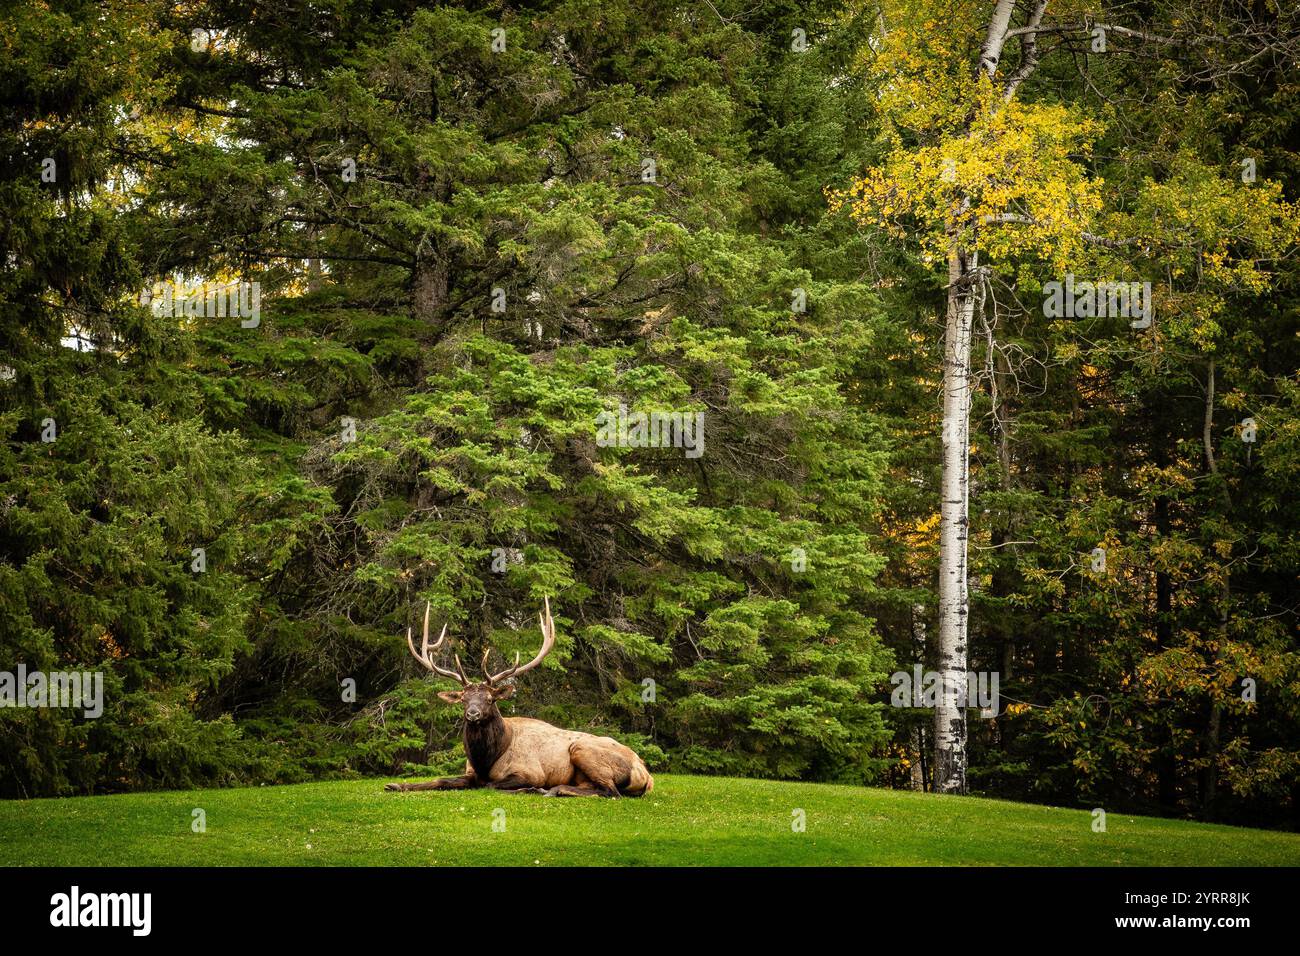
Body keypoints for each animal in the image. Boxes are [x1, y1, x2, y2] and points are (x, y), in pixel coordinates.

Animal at [385, 597, 654, 798]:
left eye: (490, 699)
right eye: (463, 699)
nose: (472, 714)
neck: (487, 759)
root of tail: (646, 774)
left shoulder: (529, 771)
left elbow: (490, 785)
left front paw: (531, 787)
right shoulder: (470, 772)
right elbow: (441, 780)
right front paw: (396, 785)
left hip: (582, 749)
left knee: (610, 791)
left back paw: (547, 790)